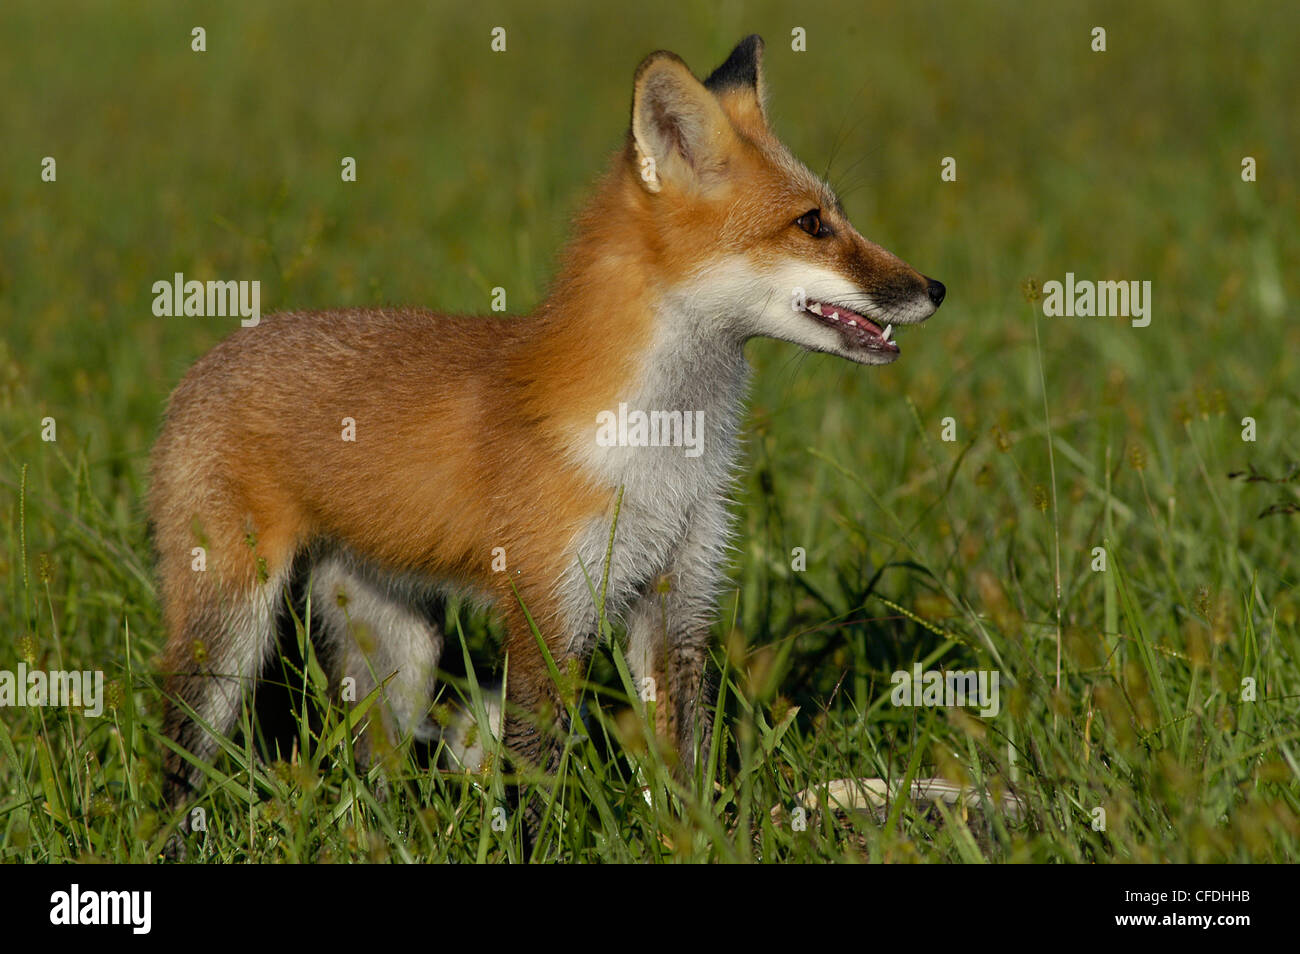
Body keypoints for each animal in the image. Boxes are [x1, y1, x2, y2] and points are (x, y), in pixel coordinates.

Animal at [152, 33, 944, 847]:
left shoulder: (677, 599)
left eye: (836, 216)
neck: (664, 448)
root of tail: (213, 355)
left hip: (399, 650)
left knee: (375, 775)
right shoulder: (546, 612)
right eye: (812, 224)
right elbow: (536, 775)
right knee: (180, 754)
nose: (936, 290)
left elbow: (684, 766)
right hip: (229, 632)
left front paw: (697, 840)